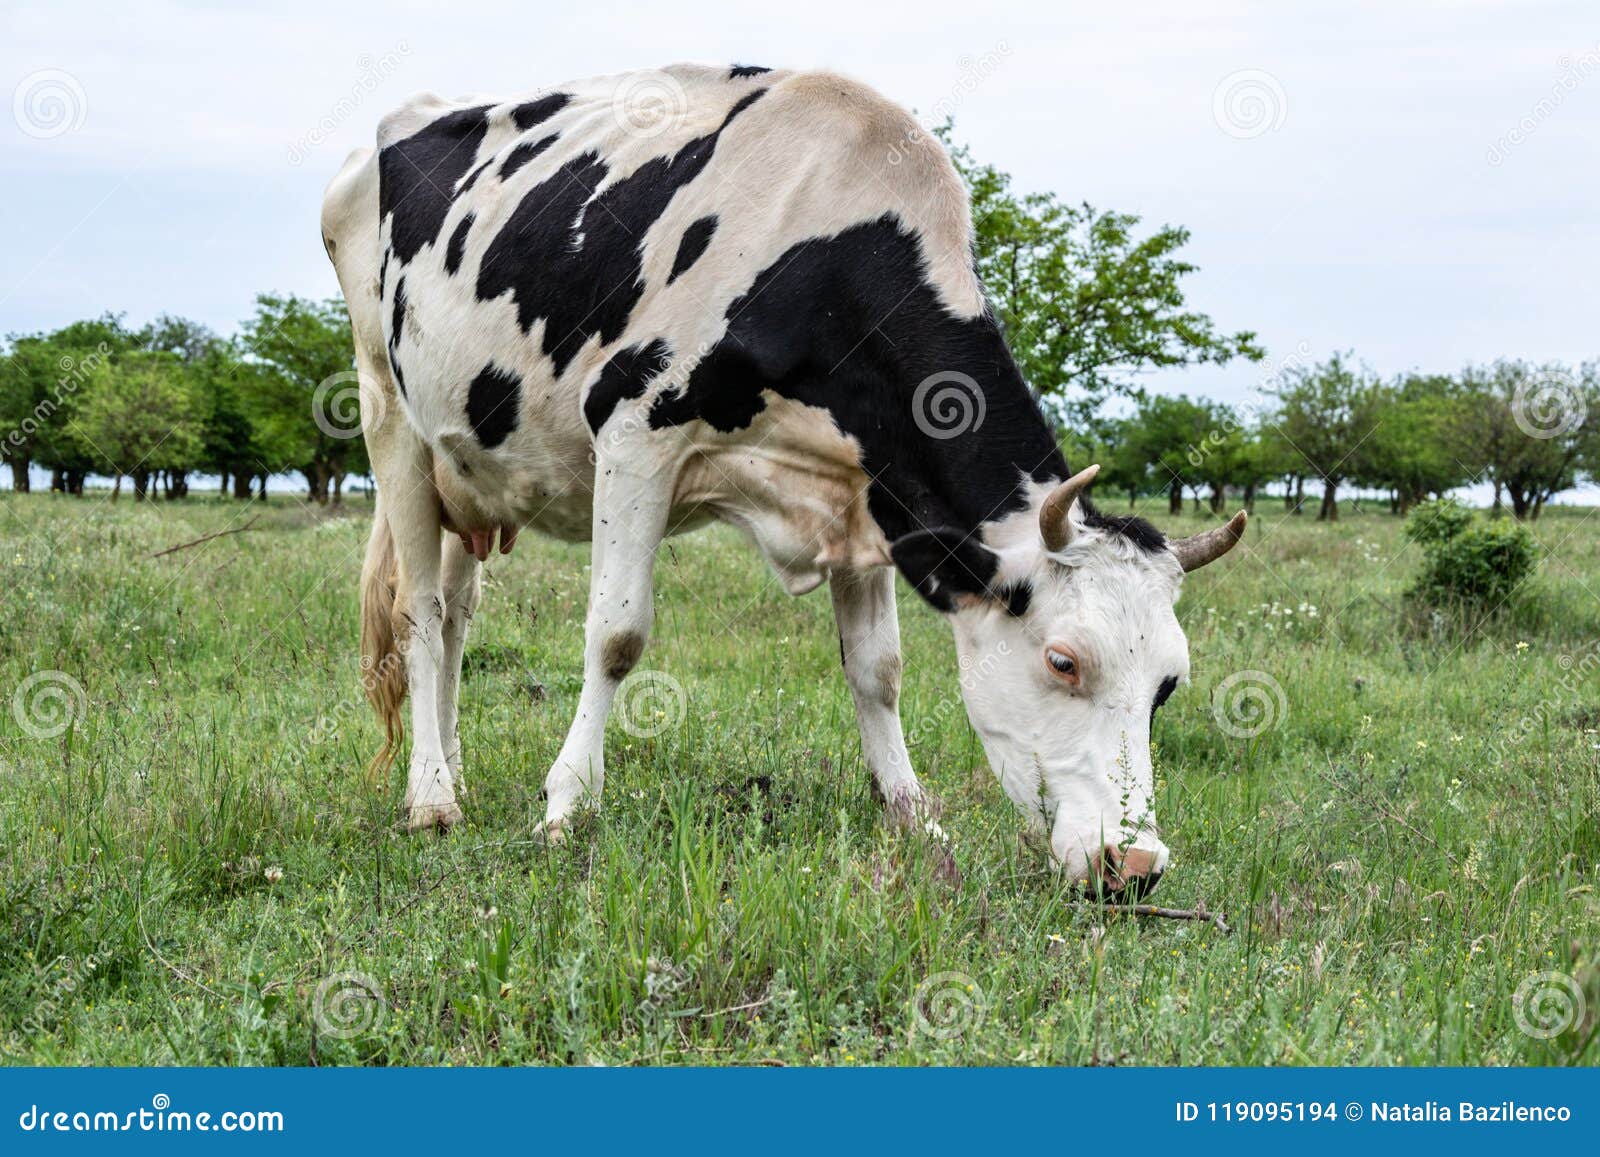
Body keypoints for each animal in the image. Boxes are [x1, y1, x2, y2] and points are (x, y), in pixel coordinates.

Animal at [320, 64, 1246, 896]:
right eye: (1063, 660)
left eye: (1169, 682)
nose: (1133, 865)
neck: (827, 247)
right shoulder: (635, 424)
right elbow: (617, 635)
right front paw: (568, 803)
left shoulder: (866, 490)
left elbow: (878, 668)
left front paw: (912, 816)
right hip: (388, 414)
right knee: (420, 611)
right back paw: (432, 797)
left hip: (469, 471)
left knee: (458, 615)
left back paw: (452, 770)